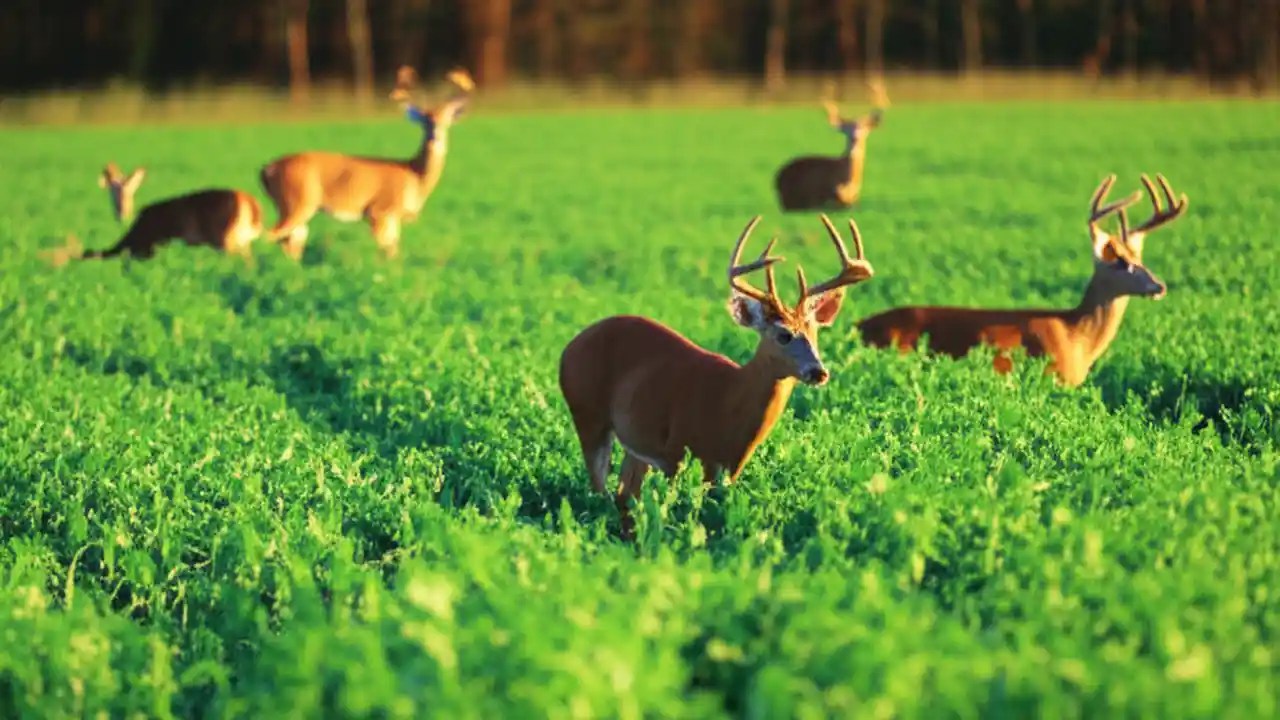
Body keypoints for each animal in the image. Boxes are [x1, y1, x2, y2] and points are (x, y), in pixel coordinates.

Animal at [80, 163, 263, 261]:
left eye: (127, 190)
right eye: (112, 191)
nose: (120, 211)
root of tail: (251, 203)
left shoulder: (149, 248)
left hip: (224, 238)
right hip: (241, 241)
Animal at [258, 66, 474, 261]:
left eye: (446, 122)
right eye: (425, 122)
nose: (434, 137)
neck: (414, 176)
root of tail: (266, 169)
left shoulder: (394, 219)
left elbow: (394, 251)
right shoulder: (378, 211)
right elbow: (385, 251)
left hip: (293, 206)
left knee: (291, 241)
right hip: (297, 201)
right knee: (269, 236)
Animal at [559, 214, 875, 538]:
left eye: (814, 334)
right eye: (783, 335)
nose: (819, 372)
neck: (729, 402)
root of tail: (569, 347)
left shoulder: (730, 464)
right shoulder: (676, 449)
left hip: (633, 441)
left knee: (624, 495)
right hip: (587, 412)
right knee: (600, 489)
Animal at [774, 79, 890, 211]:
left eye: (865, 129)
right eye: (846, 130)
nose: (855, 138)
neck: (849, 186)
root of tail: (776, 178)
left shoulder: (855, 201)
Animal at [856, 173, 1189, 387]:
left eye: (1139, 258)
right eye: (1120, 261)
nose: (1159, 287)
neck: (1076, 335)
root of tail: (858, 326)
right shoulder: (1055, 378)